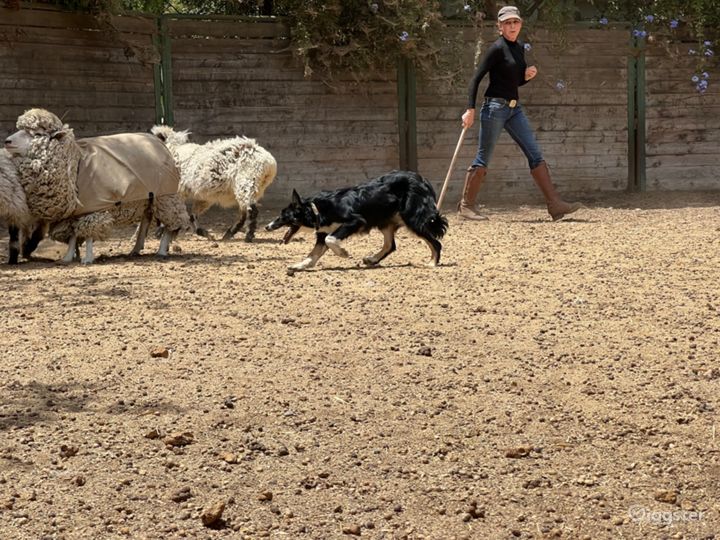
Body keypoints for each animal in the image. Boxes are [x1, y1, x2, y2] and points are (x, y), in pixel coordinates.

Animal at [5, 108, 186, 264]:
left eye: (37, 134)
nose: (7, 141)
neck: (75, 166)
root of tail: (159, 140)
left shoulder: (94, 208)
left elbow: (89, 234)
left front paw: (87, 257)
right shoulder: (75, 212)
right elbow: (73, 234)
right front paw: (68, 257)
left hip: (166, 196)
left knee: (170, 222)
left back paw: (162, 250)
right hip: (149, 196)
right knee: (146, 219)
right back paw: (135, 249)